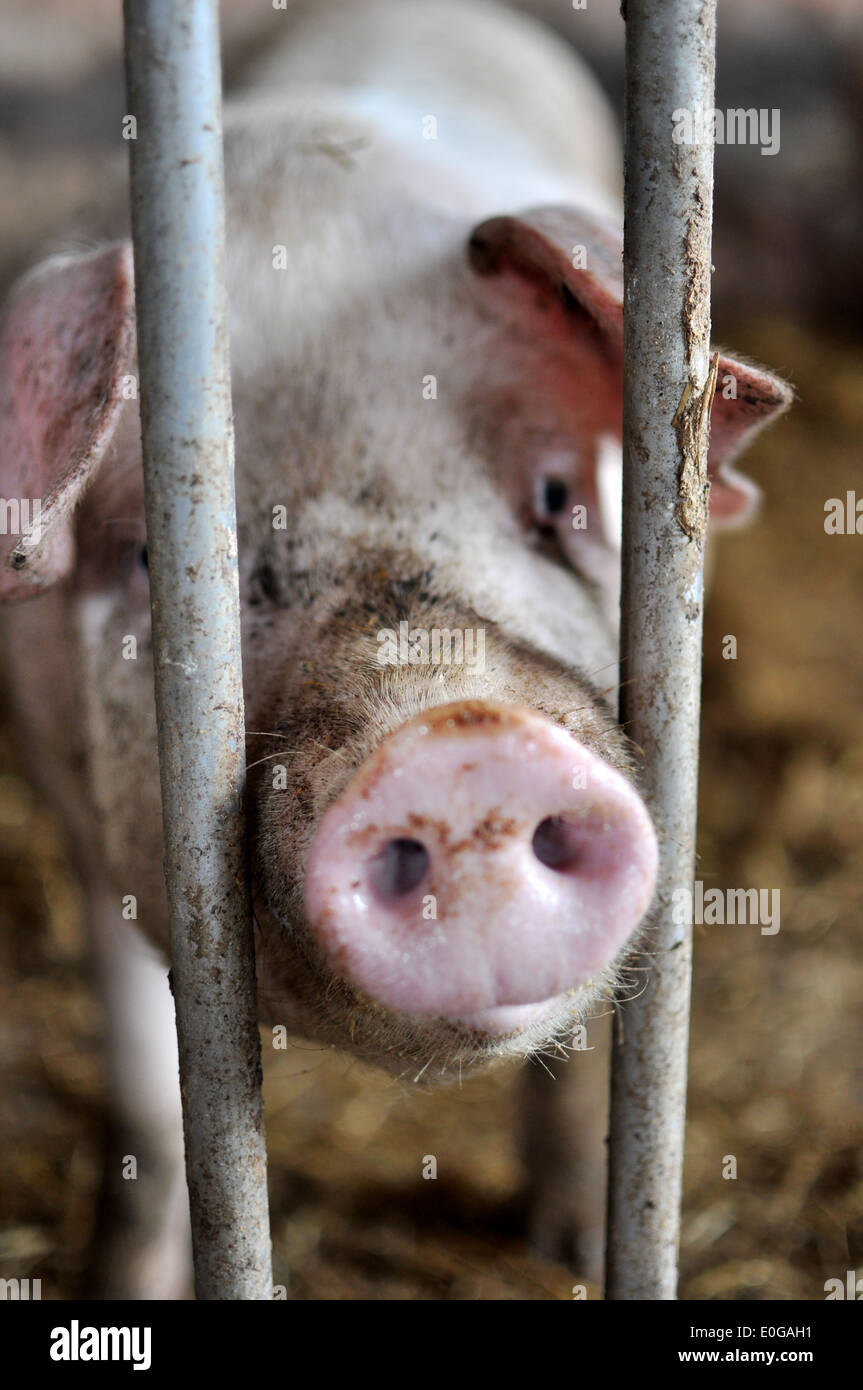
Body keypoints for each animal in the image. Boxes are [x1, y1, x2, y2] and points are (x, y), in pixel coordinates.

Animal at [0, 0, 791, 1298]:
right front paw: (125, 1287)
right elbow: (150, 1100)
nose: (458, 738)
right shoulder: (76, 814)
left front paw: (579, 1246)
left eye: (558, 495)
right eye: (158, 558)